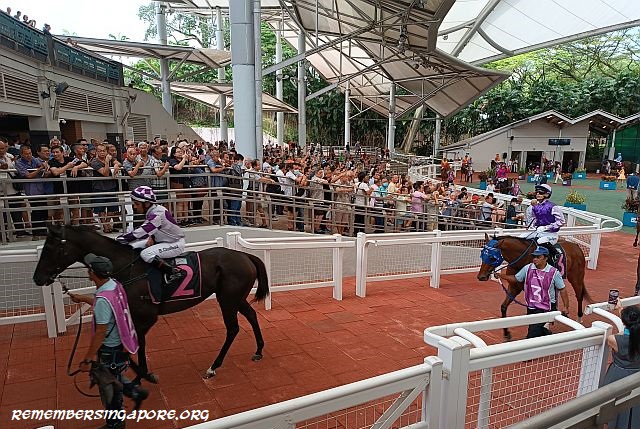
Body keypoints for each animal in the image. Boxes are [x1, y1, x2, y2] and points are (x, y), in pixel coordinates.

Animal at [32, 224, 269, 381]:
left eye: (50, 248)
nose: (37, 278)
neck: (128, 267)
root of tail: (245, 256)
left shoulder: (145, 317)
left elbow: (136, 345)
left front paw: (141, 373)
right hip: (235, 298)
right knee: (251, 315)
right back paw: (258, 350)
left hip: (227, 299)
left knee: (233, 328)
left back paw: (213, 367)